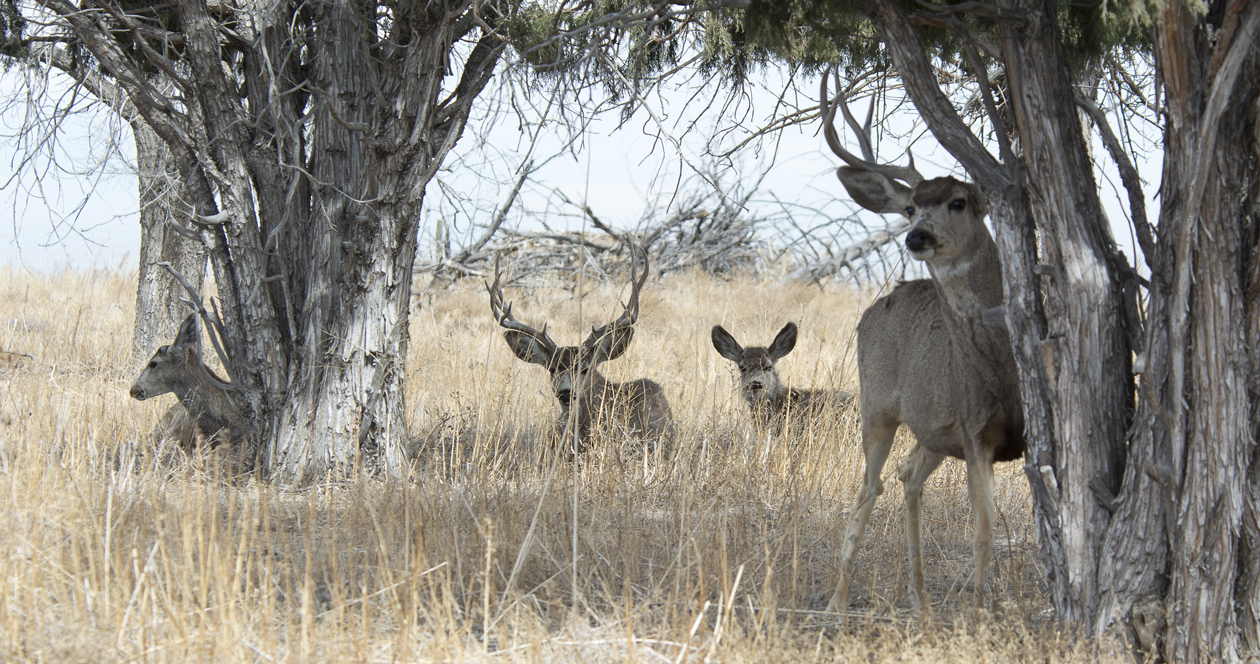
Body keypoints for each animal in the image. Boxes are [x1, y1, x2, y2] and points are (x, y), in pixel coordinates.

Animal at [819, 75, 1025, 614]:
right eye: (911, 207)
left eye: (959, 201)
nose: (916, 236)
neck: (1000, 369)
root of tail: (878, 304)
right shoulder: (976, 432)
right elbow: (983, 533)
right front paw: (978, 608)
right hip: (876, 405)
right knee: (869, 486)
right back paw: (838, 598)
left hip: (932, 430)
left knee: (907, 475)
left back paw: (918, 592)